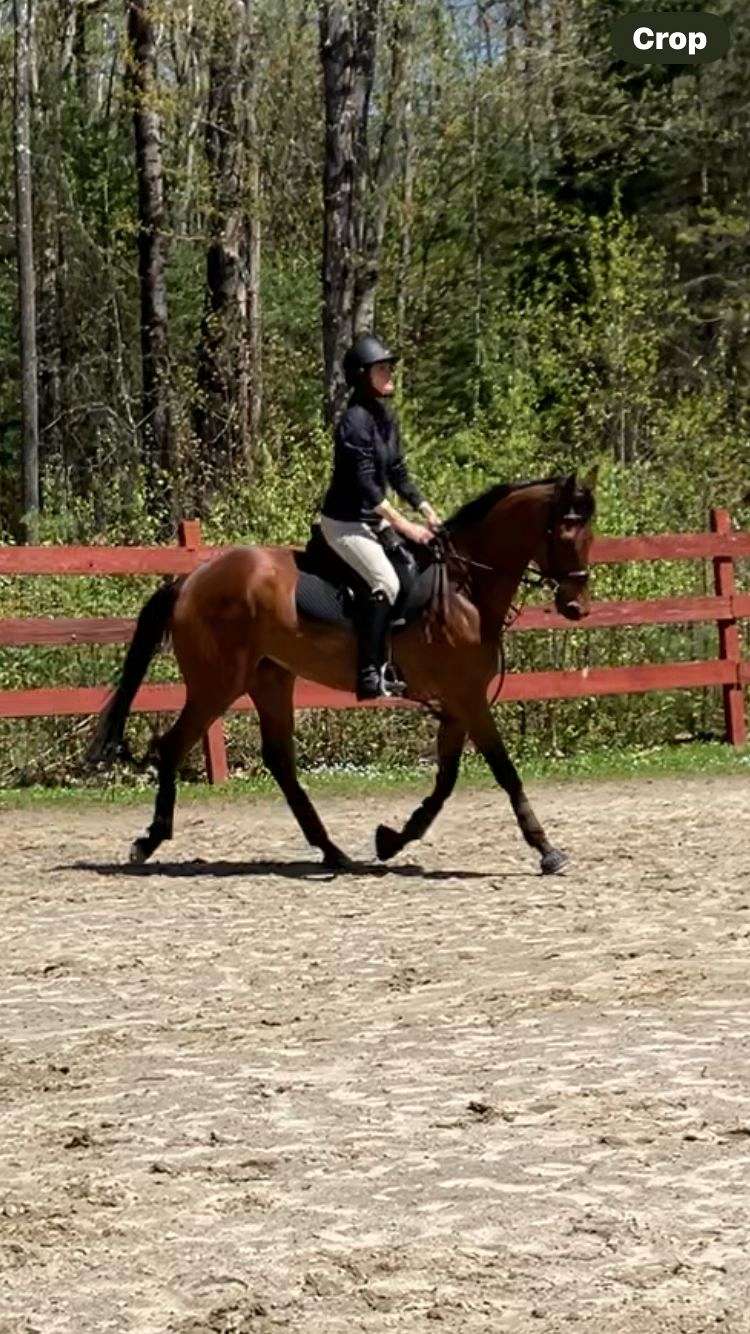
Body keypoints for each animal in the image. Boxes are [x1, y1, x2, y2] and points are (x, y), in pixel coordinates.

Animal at [89, 470, 596, 874]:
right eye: (567, 533)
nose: (577, 608)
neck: (463, 586)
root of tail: (191, 580)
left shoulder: (457, 702)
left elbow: (446, 781)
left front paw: (391, 840)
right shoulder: (468, 698)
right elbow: (504, 770)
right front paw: (547, 850)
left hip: (270, 678)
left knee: (280, 761)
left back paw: (332, 851)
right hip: (217, 684)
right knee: (173, 746)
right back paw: (148, 842)